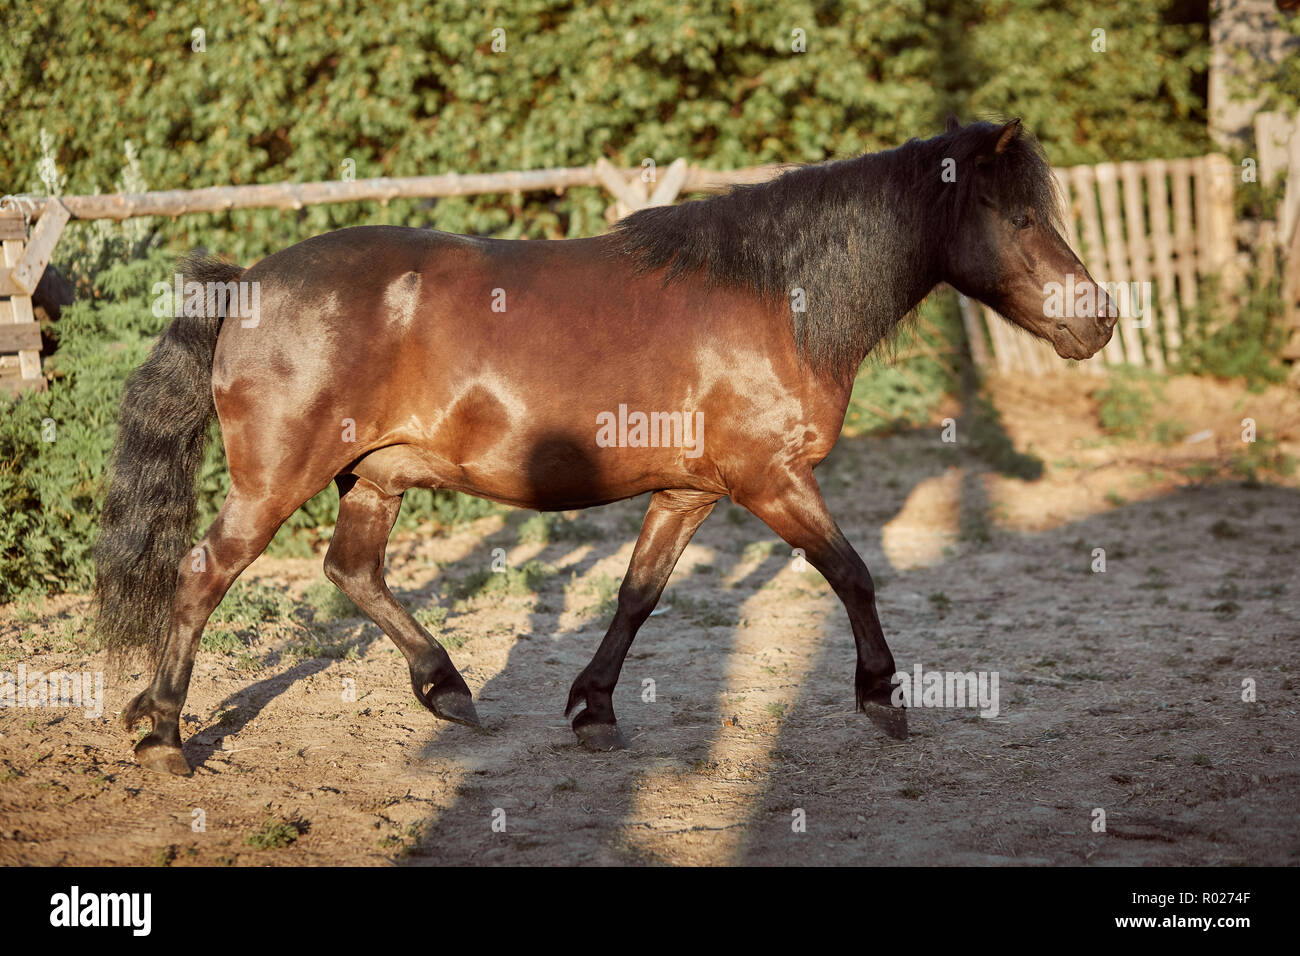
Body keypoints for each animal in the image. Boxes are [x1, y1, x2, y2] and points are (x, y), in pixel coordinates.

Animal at [94, 118, 1115, 775]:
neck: (775, 300)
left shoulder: (689, 492)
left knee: (353, 573)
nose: (1098, 319)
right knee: (205, 574)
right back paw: (164, 736)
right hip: (277, 479)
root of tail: (244, 282)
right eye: (1021, 218)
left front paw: (592, 712)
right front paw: (882, 701)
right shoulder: (771, 479)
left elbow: (636, 596)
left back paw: (447, 689)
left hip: (373, 478)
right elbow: (853, 574)